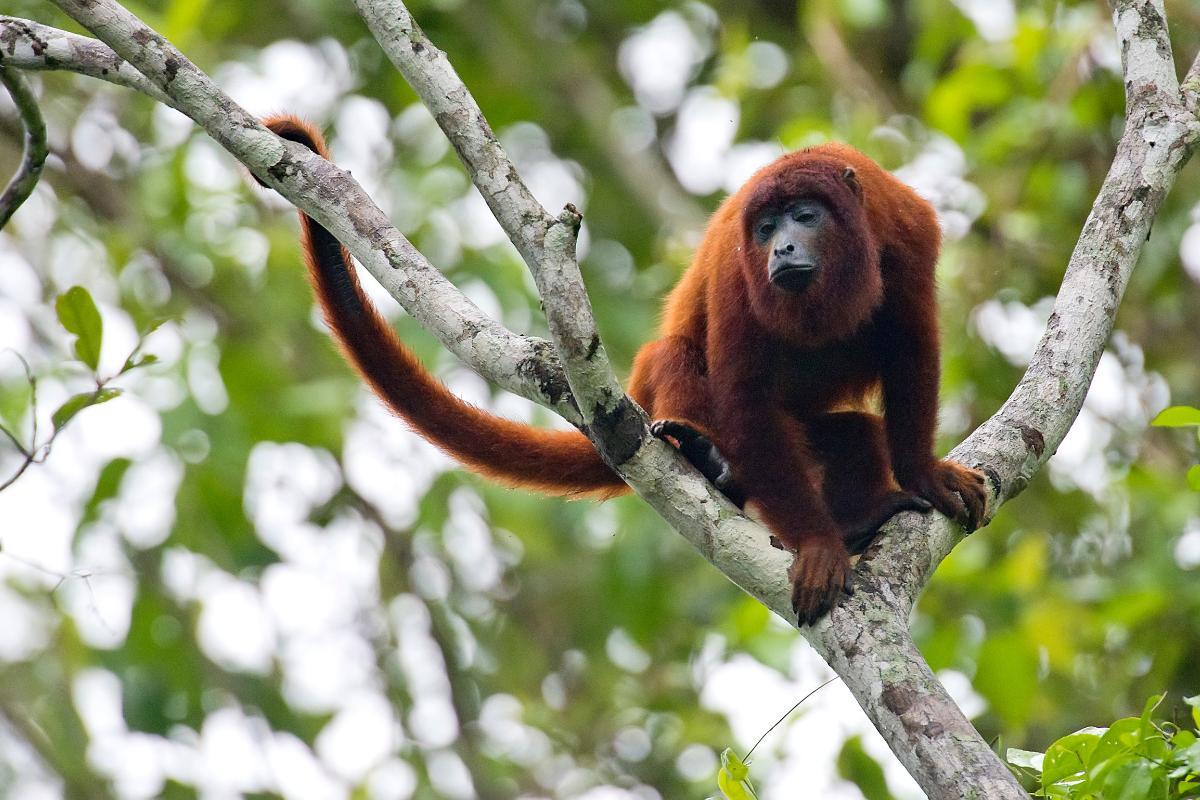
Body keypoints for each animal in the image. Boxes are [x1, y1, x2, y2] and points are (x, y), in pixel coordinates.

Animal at [258, 115, 987, 624]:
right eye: (764, 229)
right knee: (677, 360)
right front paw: (817, 546)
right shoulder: (735, 270)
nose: (781, 247)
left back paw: (859, 514)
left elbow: (914, 348)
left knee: (856, 433)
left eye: (805, 218)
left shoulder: (908, 232)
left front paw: (923, 475)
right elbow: (743, 391)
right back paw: (708, 461)